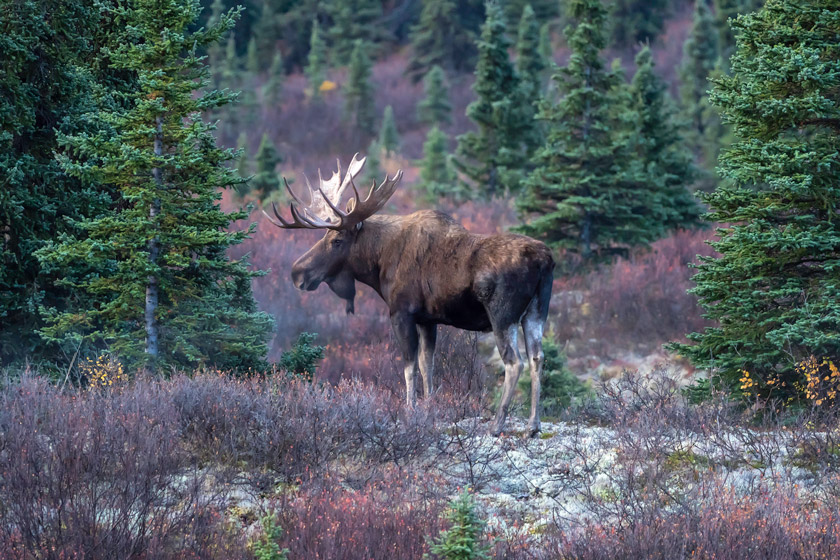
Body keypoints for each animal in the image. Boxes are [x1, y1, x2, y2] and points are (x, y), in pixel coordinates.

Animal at [264, 155, 555, 437]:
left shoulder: (401, 312)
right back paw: (534, 424)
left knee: (514, 362)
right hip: (537, 312)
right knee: (537, 357)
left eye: (336, 241)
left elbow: (408, 366)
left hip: (502, 315)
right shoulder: (428, 319)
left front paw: (410, 410)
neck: (379, 263)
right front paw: (429, 408)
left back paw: (497, 424)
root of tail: (544, 260)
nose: (297, 273)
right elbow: (428, 364)